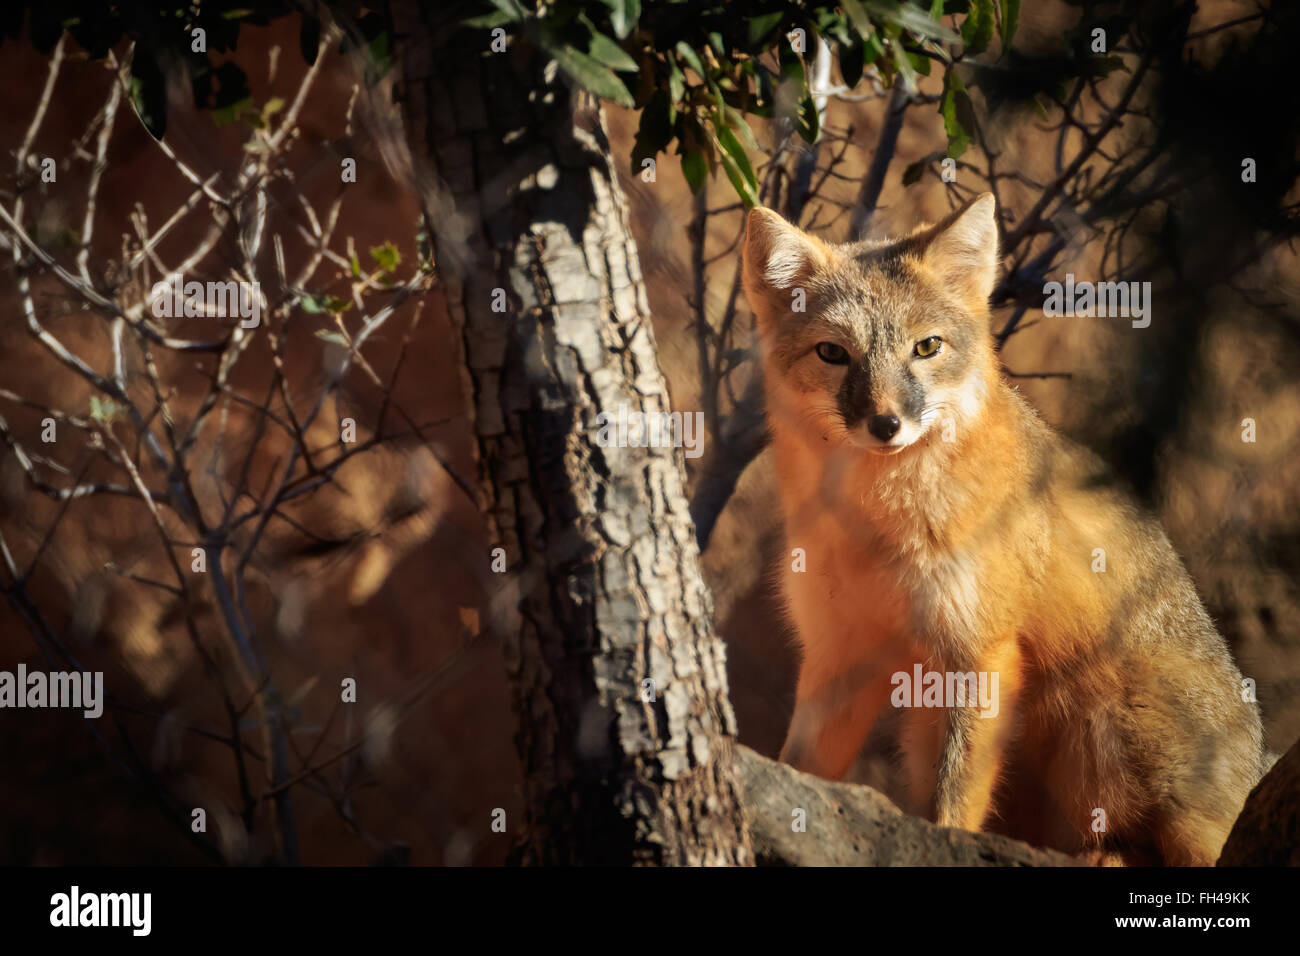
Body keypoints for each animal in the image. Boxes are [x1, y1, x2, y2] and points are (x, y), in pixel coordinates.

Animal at [742, 193, 1265, 866]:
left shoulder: (980, 651)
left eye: (926, 347)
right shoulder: (840, 652)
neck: (875, 524)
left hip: (1103, 721)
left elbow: (956, 800)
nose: (886, 424)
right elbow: (802, 766)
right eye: (833, 353)